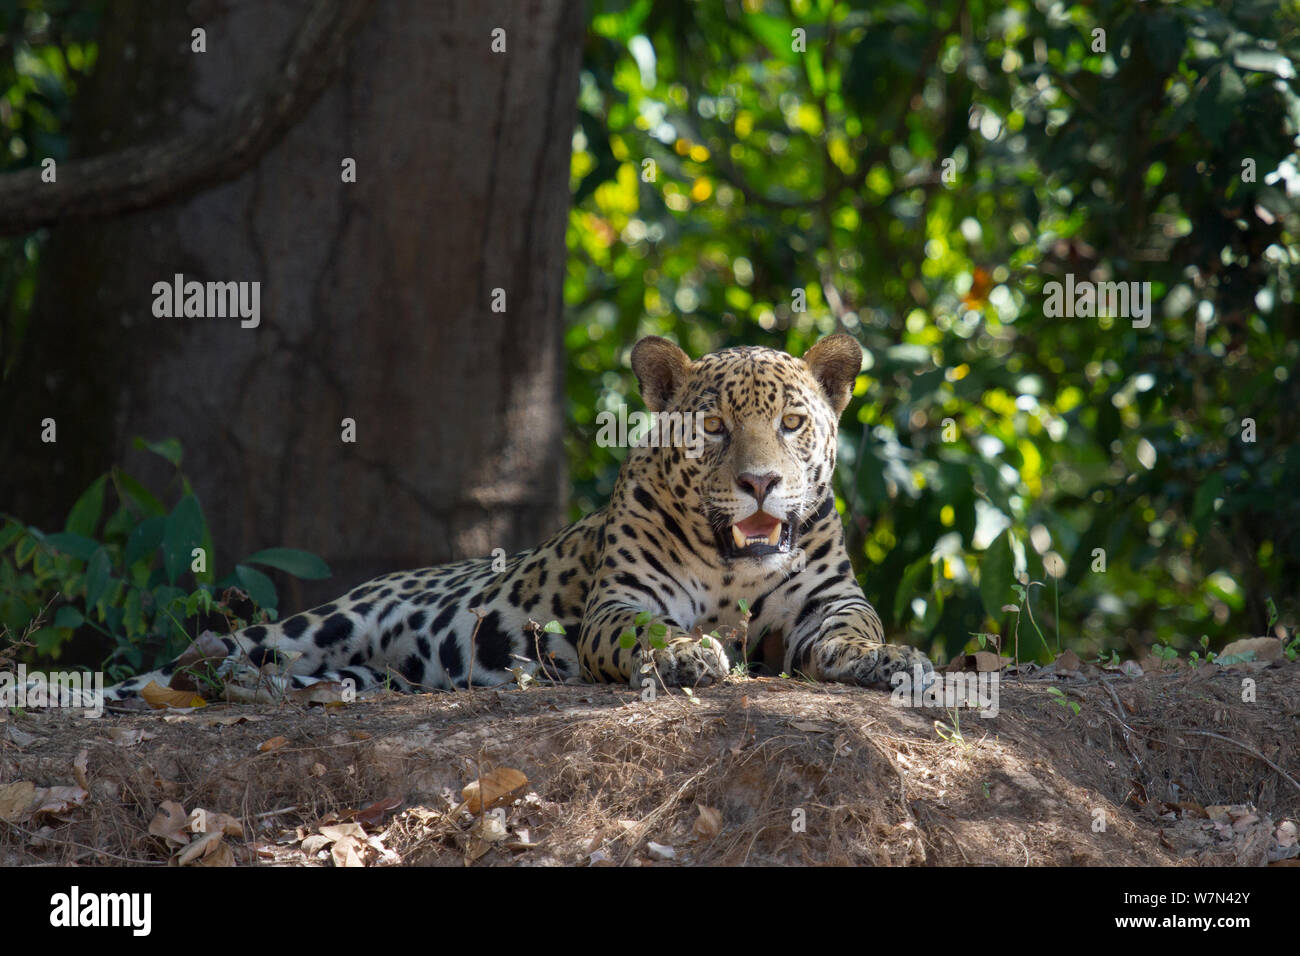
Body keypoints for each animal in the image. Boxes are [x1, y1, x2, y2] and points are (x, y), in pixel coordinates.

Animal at [106, 334, 933, 701]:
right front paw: (688, 656)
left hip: (356, 666)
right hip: (319, 623)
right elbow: (648, 631)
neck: (735, 567)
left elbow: (856, 629)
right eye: (714, 428)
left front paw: (890, 660)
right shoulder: (617, 603)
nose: (761, 483)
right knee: (195, 659)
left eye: (793, 423)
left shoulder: (828, 599)